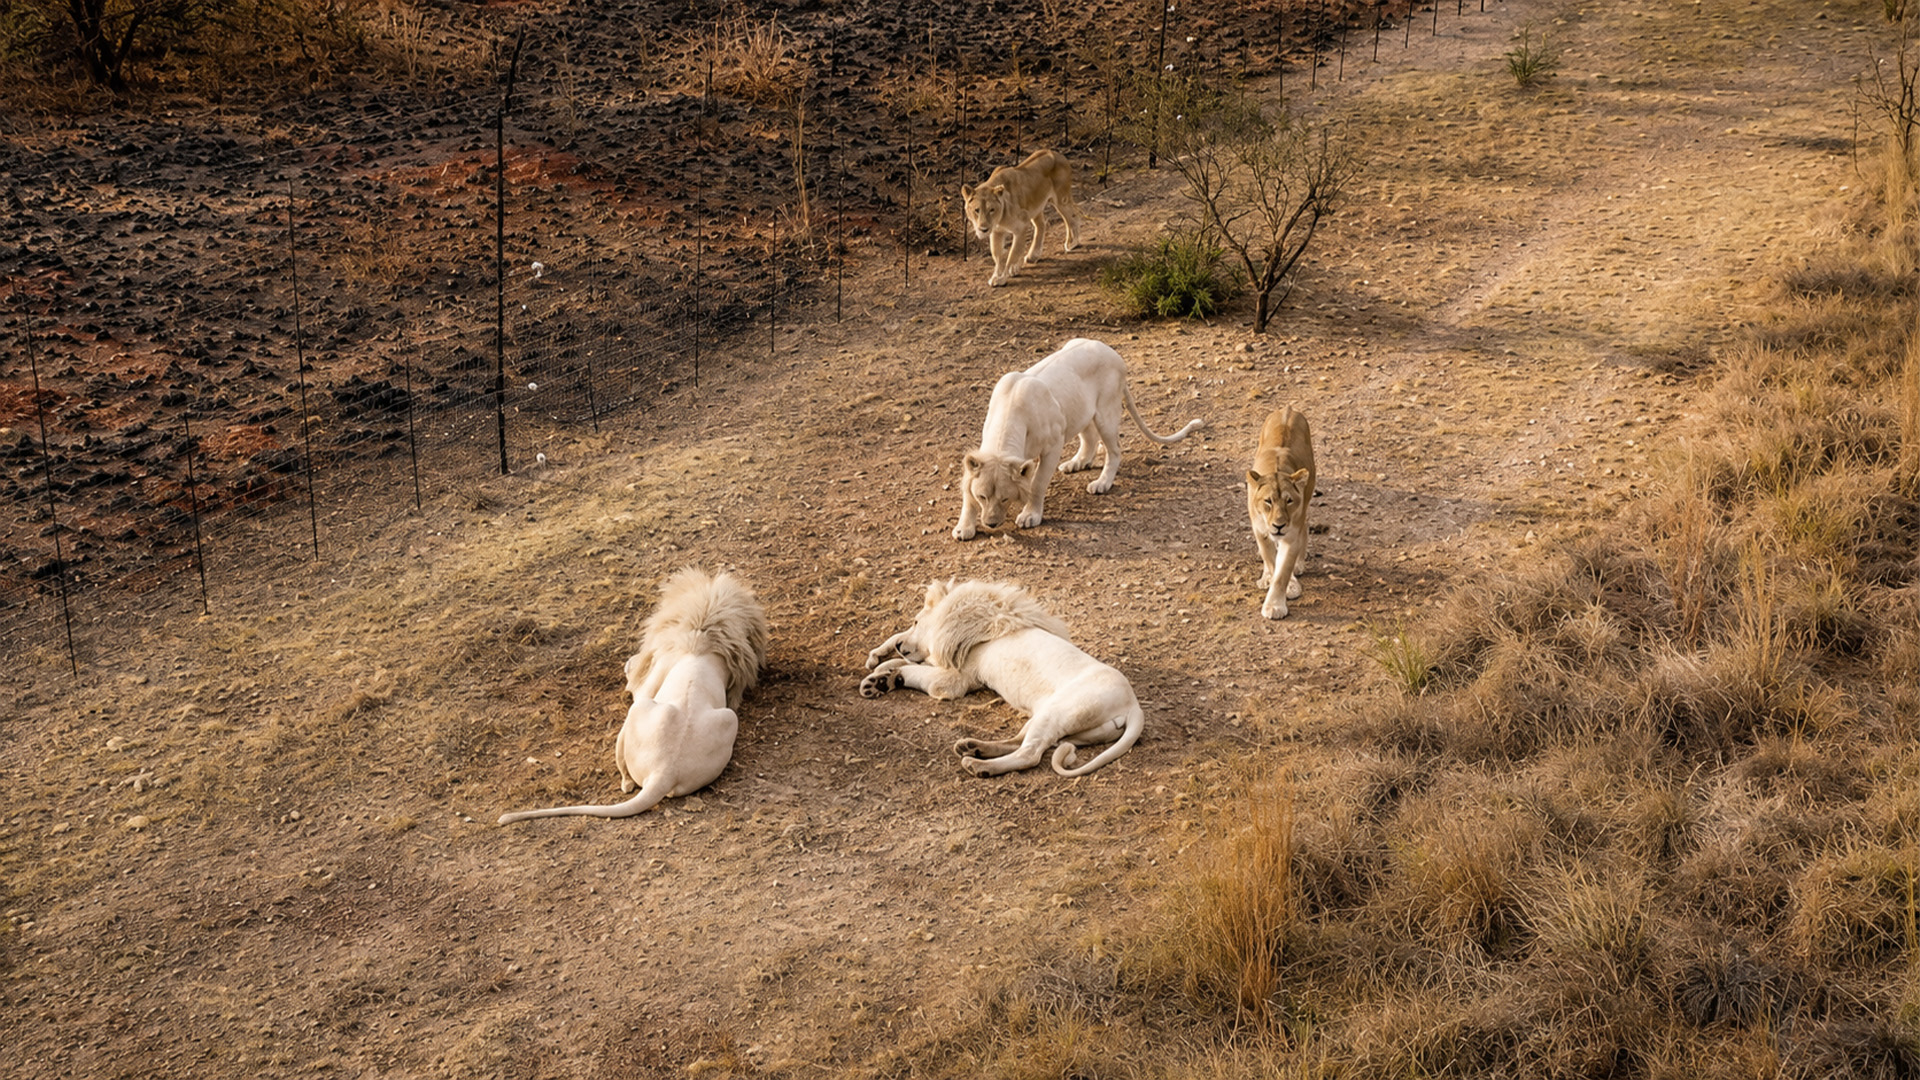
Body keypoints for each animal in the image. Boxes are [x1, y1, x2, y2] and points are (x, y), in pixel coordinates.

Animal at [498, 568, 769, 824]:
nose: (628, 661)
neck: (700, 642)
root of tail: (663, 772)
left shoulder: (651, 678)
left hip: (644, 710)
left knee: (625, 773)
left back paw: (625, 781)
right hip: (727, 716)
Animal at [860, 579, 1144, 777]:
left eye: (916, 622)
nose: (899, 645)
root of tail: (1134, 708)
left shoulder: (956, 679)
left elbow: (915, 673)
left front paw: (883, 680)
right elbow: (904, 664)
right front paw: (878, 673)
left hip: (1058, 712)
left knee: (1029, 754)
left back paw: (976, 764)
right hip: (1069, 727)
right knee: (1019, 742)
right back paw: (972, 747)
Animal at [953, 337, 1204, 540]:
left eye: (1005, 499)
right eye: (983, 496)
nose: (991, 523)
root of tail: (1112, 352)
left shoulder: (1053, 445)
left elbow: (1038, 483)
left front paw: (1030, 515)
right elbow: (967, 494)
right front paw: (963, 528)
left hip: (1106, 412)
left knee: (1114, 449)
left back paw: (1102, 483)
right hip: (1079, 410)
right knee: (1090, 436)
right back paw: (1077, 463)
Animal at [961, 149, 1083, 287]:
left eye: (991, 210)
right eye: (977, 210)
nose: (983, 229)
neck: (999, 218)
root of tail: (1058, 154)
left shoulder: (1021, 226)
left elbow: (1012, 254)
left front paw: (1004, 277)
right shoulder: (997, 232)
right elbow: (997, 256)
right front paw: (997, 275)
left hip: (1061, 199)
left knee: (1074, 216)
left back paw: (1072, 243)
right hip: (1035, 206)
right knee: (1041, 224)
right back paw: (1033, 256)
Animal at [1246, 406, 1317, 620]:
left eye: (1289, 501)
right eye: (1268, 501)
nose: (1278, 525)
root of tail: (1288, 409)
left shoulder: (1291, 534)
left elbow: (1283, 570)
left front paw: (1276, 605)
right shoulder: (1261, 531)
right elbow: (1271, 561)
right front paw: (1272, 579)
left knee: (1305, 525)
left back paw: (1299, 565)